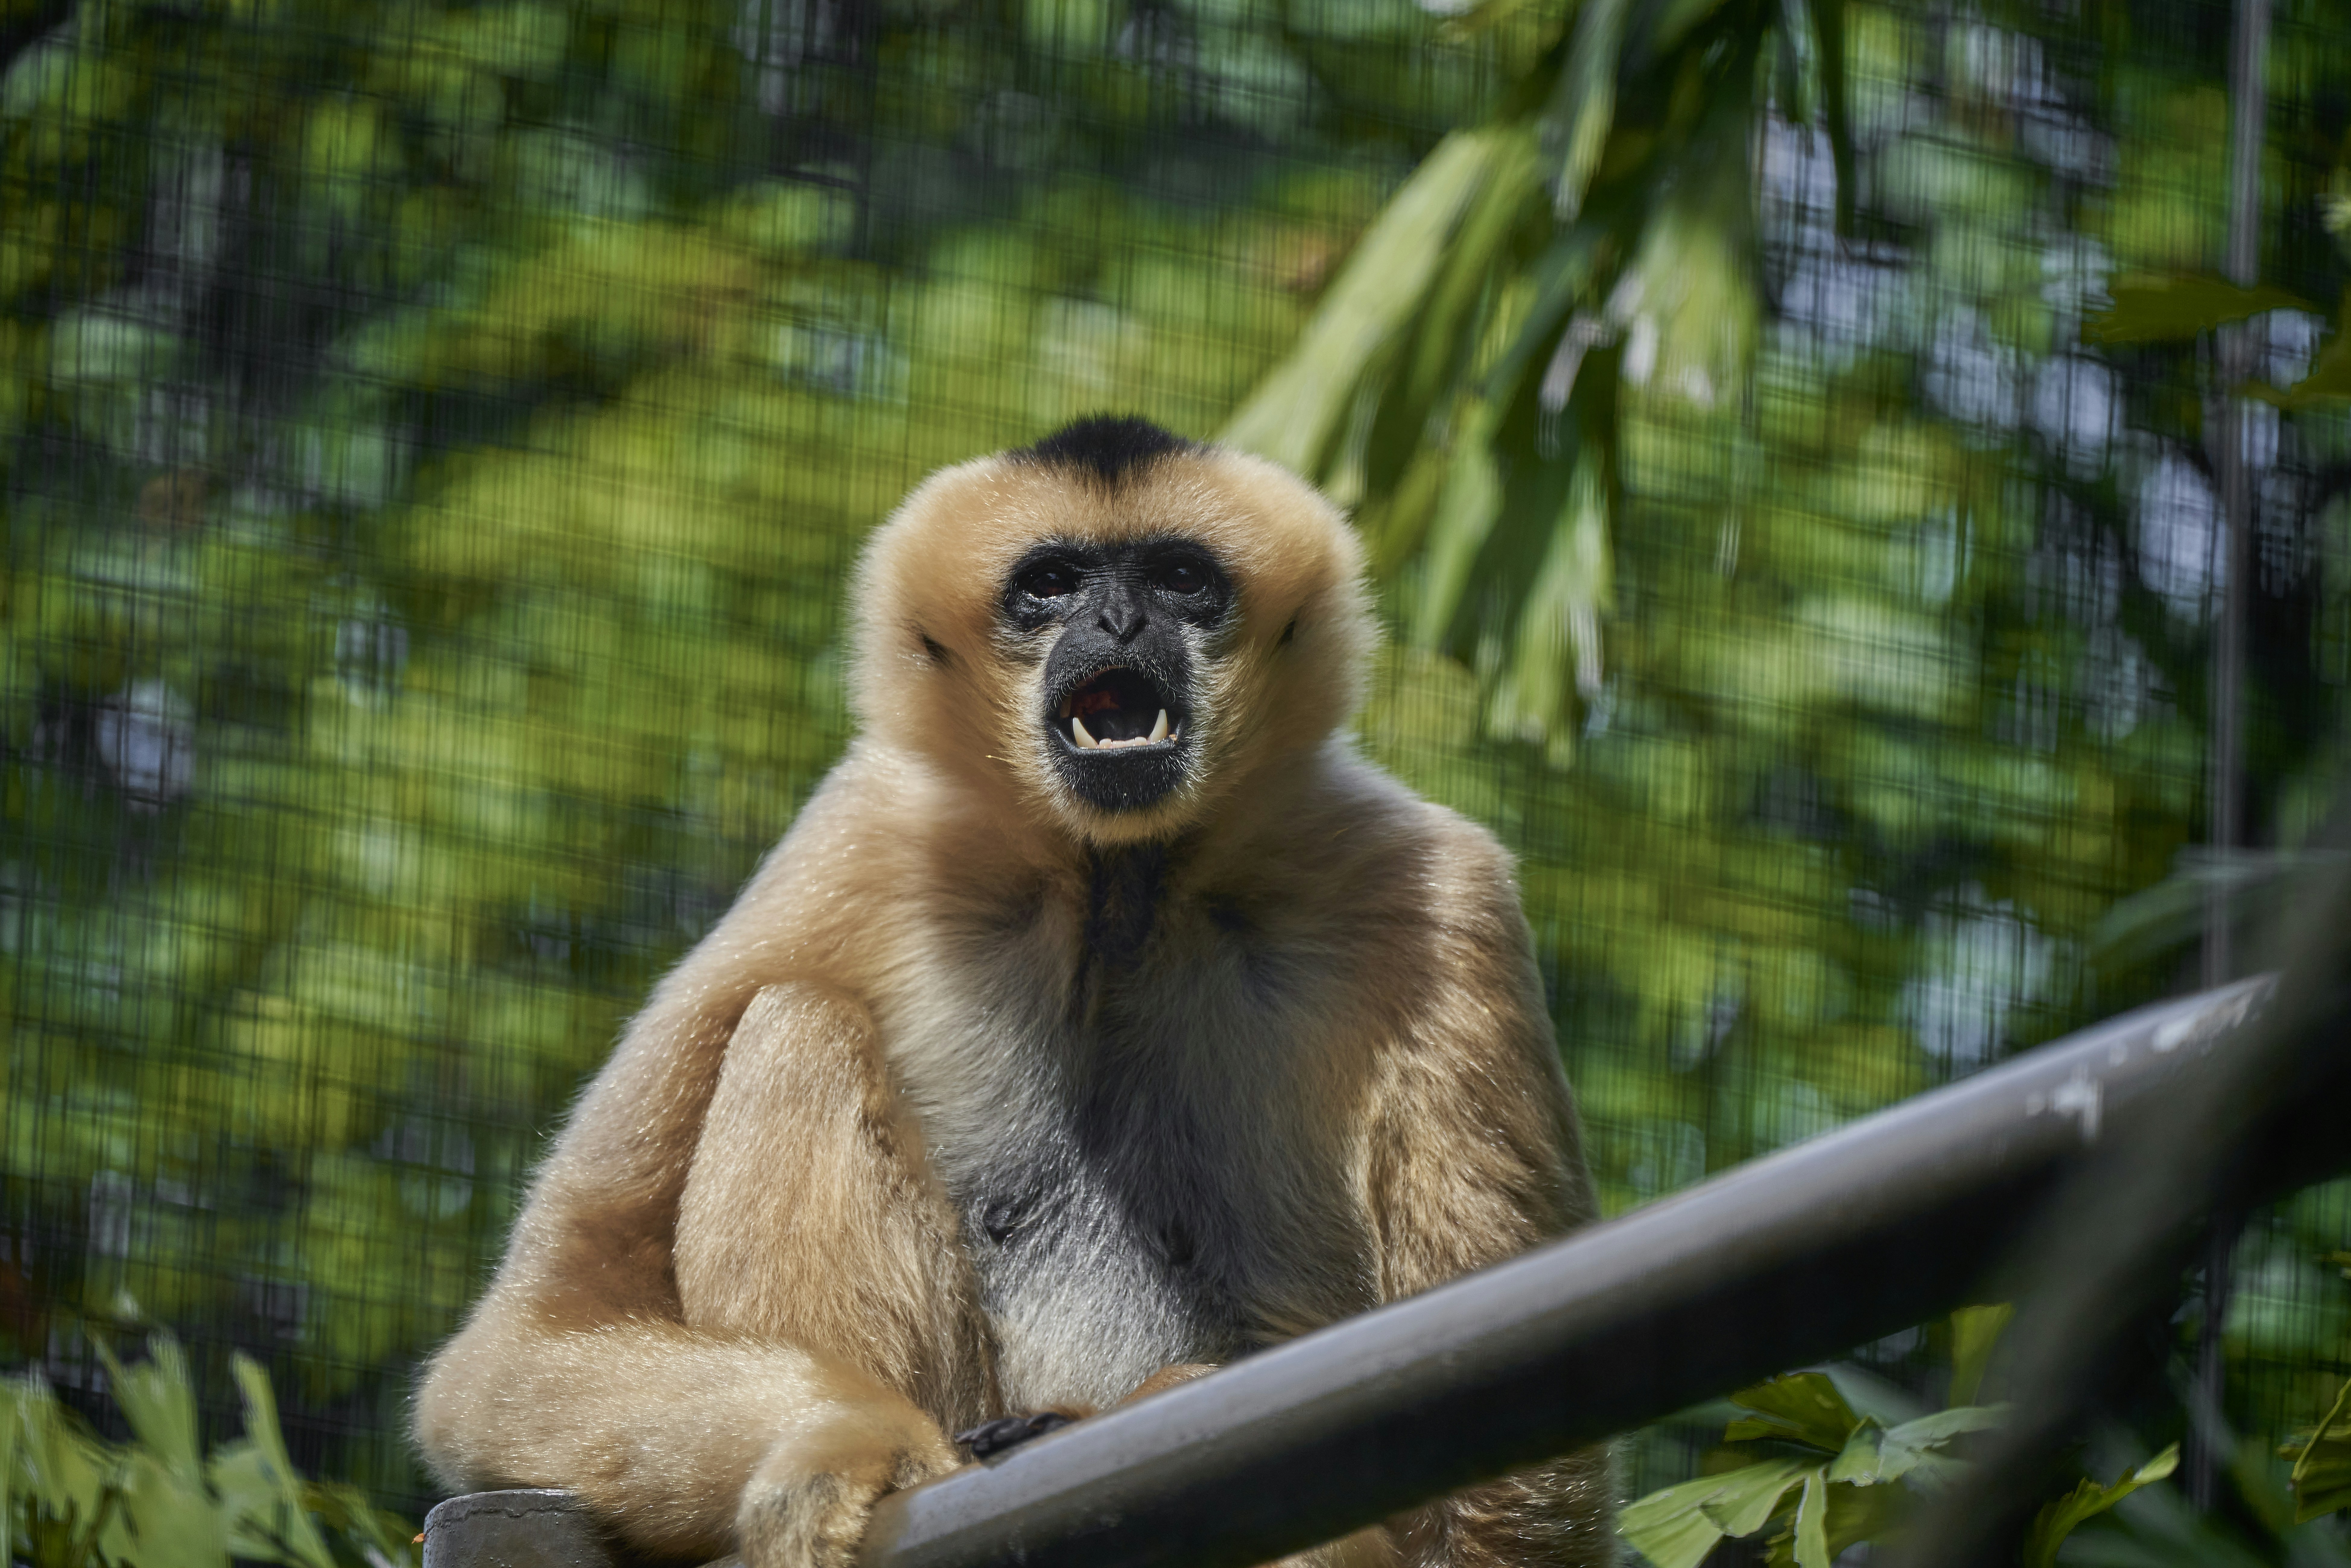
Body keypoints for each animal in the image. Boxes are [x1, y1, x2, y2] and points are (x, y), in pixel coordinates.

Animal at [413, 416, 1615, 1568]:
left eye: (1181, 577)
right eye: (1052, 583)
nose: (1121, 623)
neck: (1118, 885)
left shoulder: (1434, 892)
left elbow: (1514, 1490)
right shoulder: (852, 847)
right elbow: (532, 1332)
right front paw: (847, 1445)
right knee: (798, 1022)